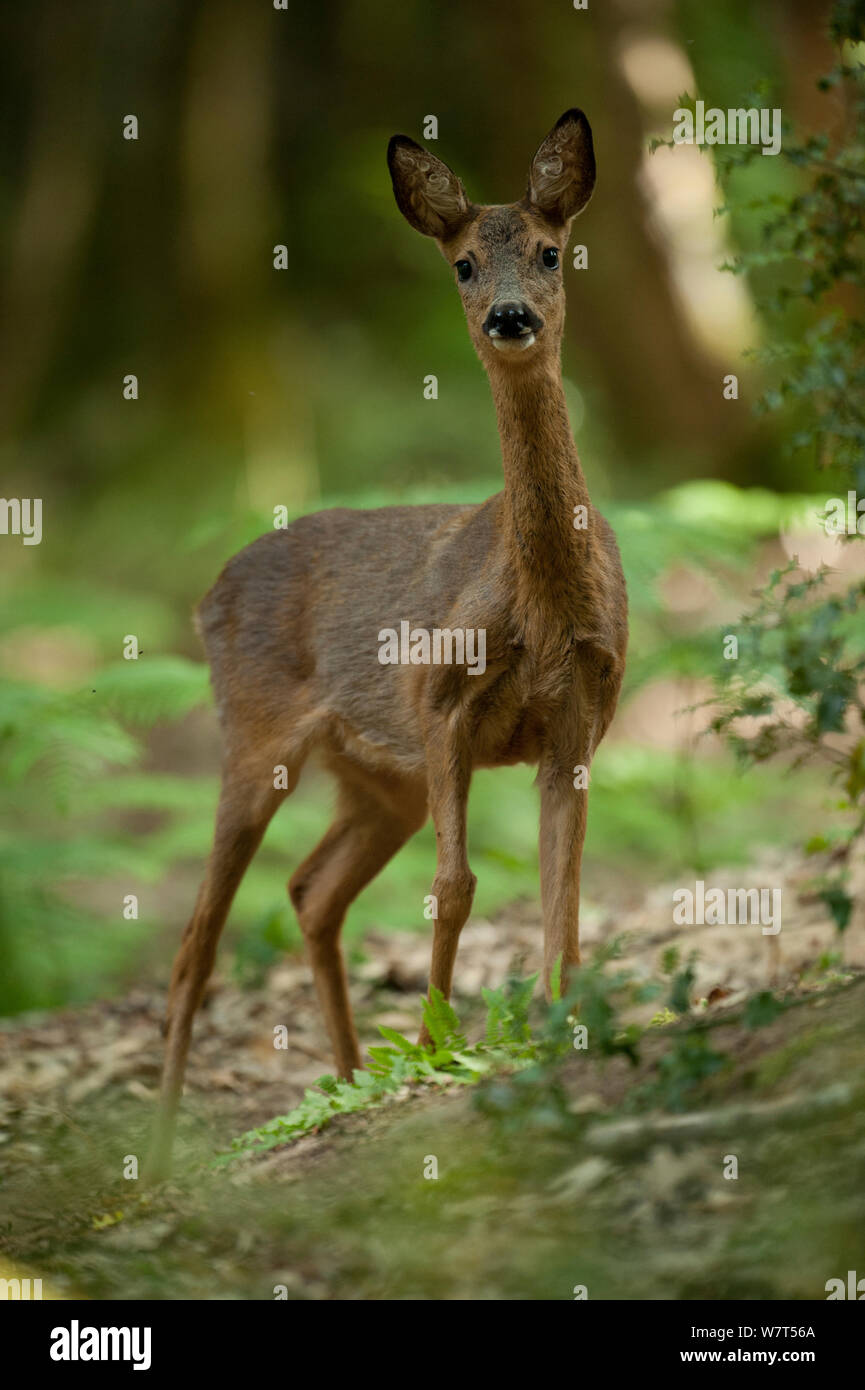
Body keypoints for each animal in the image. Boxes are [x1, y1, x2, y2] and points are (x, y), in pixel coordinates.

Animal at [145, 109, 627, 1179]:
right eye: (460, 263)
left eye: (551, 250)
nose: (508, 317)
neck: (540, 611)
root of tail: (205, 593)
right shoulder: (440, 706)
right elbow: (454, 888)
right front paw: (441, 1043)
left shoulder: (576, 727)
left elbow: (564, 883)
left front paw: (558, 1024)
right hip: (256, 738)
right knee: (197, 936)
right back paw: (159, 1142)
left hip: (378, 781)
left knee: (311, 892)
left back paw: (344, 1075)